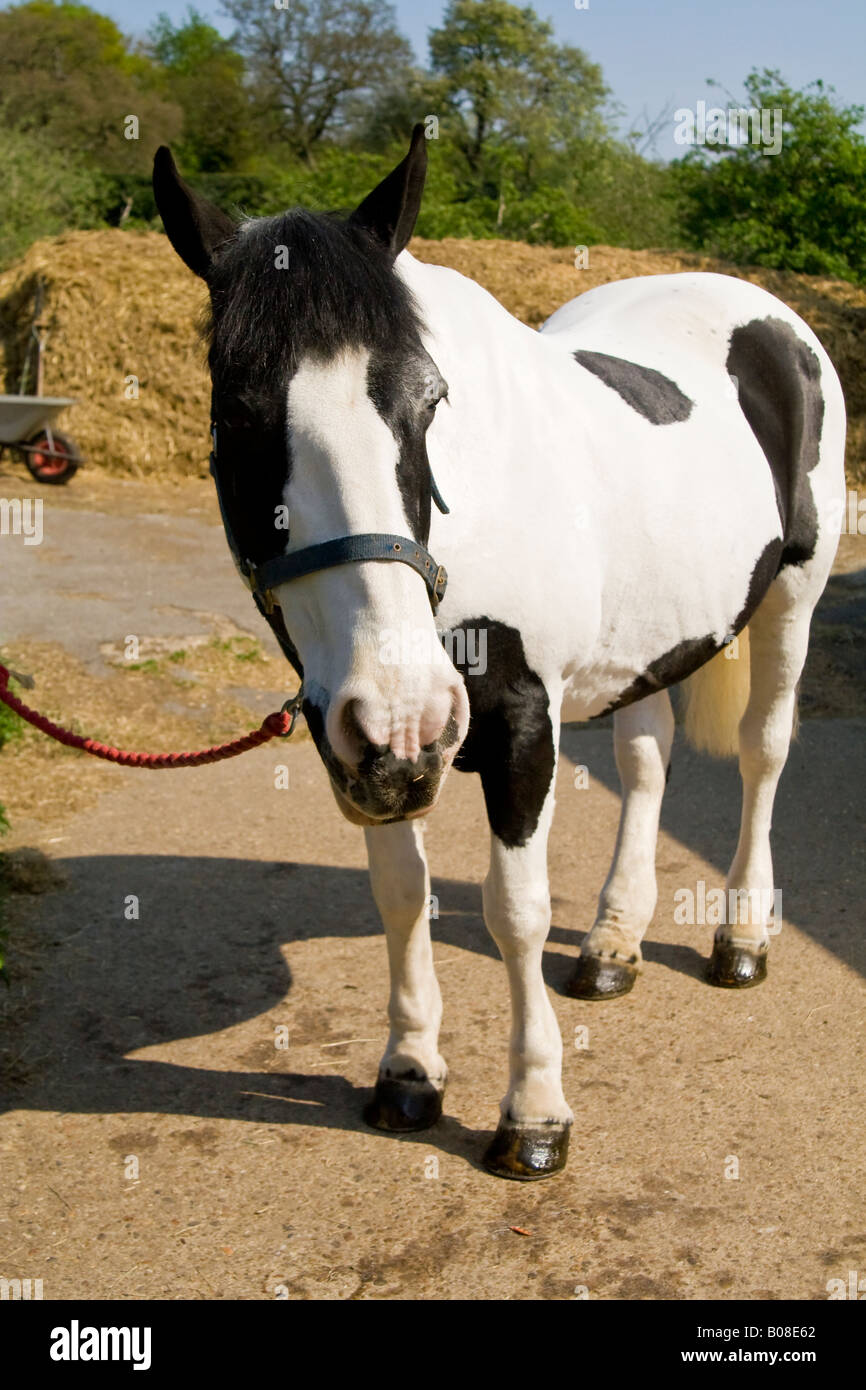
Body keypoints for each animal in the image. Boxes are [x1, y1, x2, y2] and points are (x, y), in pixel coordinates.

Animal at [153, 125, 845, 1181]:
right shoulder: (359, 744)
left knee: (764, 753)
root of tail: (768, 318)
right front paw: (409, 1071)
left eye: (430, 400)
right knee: (647, 763)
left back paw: (740, 936)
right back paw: (613, 944)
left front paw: (536, 1115)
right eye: (235, 414)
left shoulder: (519, 724)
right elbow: (403, 893)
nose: (407, 703)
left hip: (794, 602)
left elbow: (514, 909)